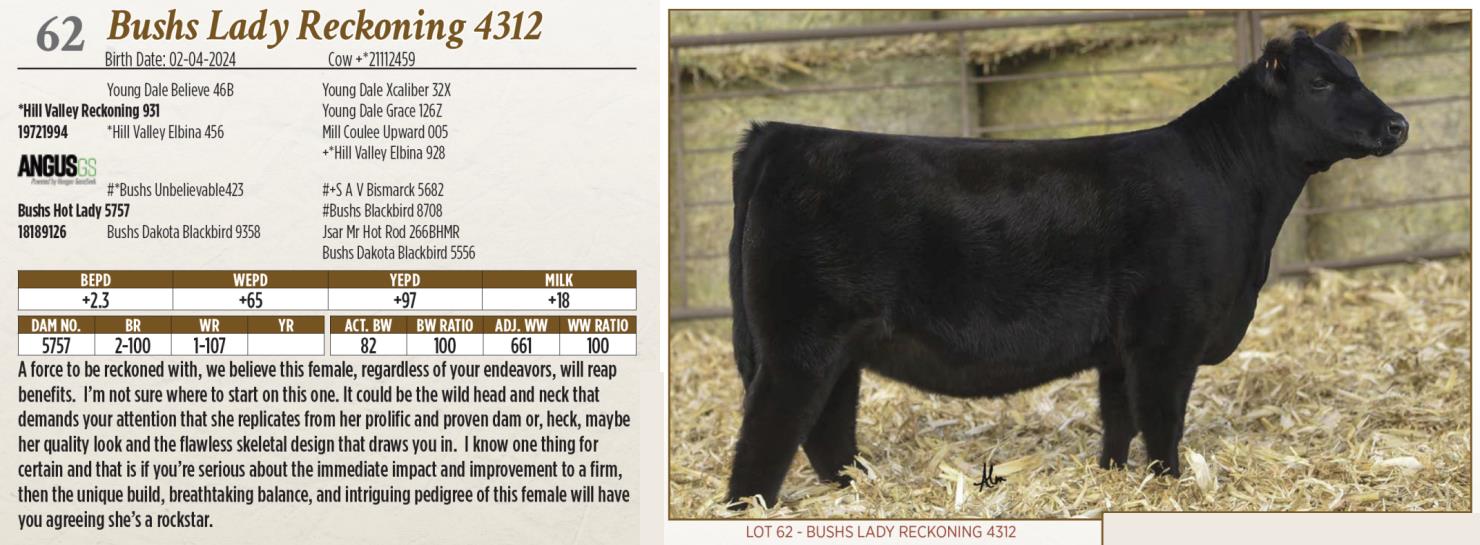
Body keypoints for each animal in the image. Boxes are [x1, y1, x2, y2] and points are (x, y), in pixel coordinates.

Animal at [724, 23, 1408, 508]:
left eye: (1355, 72)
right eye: (1320, 84)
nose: (1398, 124)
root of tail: (780, 134)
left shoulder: (1121, 348)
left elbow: (1119, 421)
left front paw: (1115, 478)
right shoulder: (1166, 336)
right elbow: (1162, 422)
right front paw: (1170, 486)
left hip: (839, 347)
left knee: (827, 430)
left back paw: (856, 488)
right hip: (799, 342)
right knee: (768, 434)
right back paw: (754, 506)